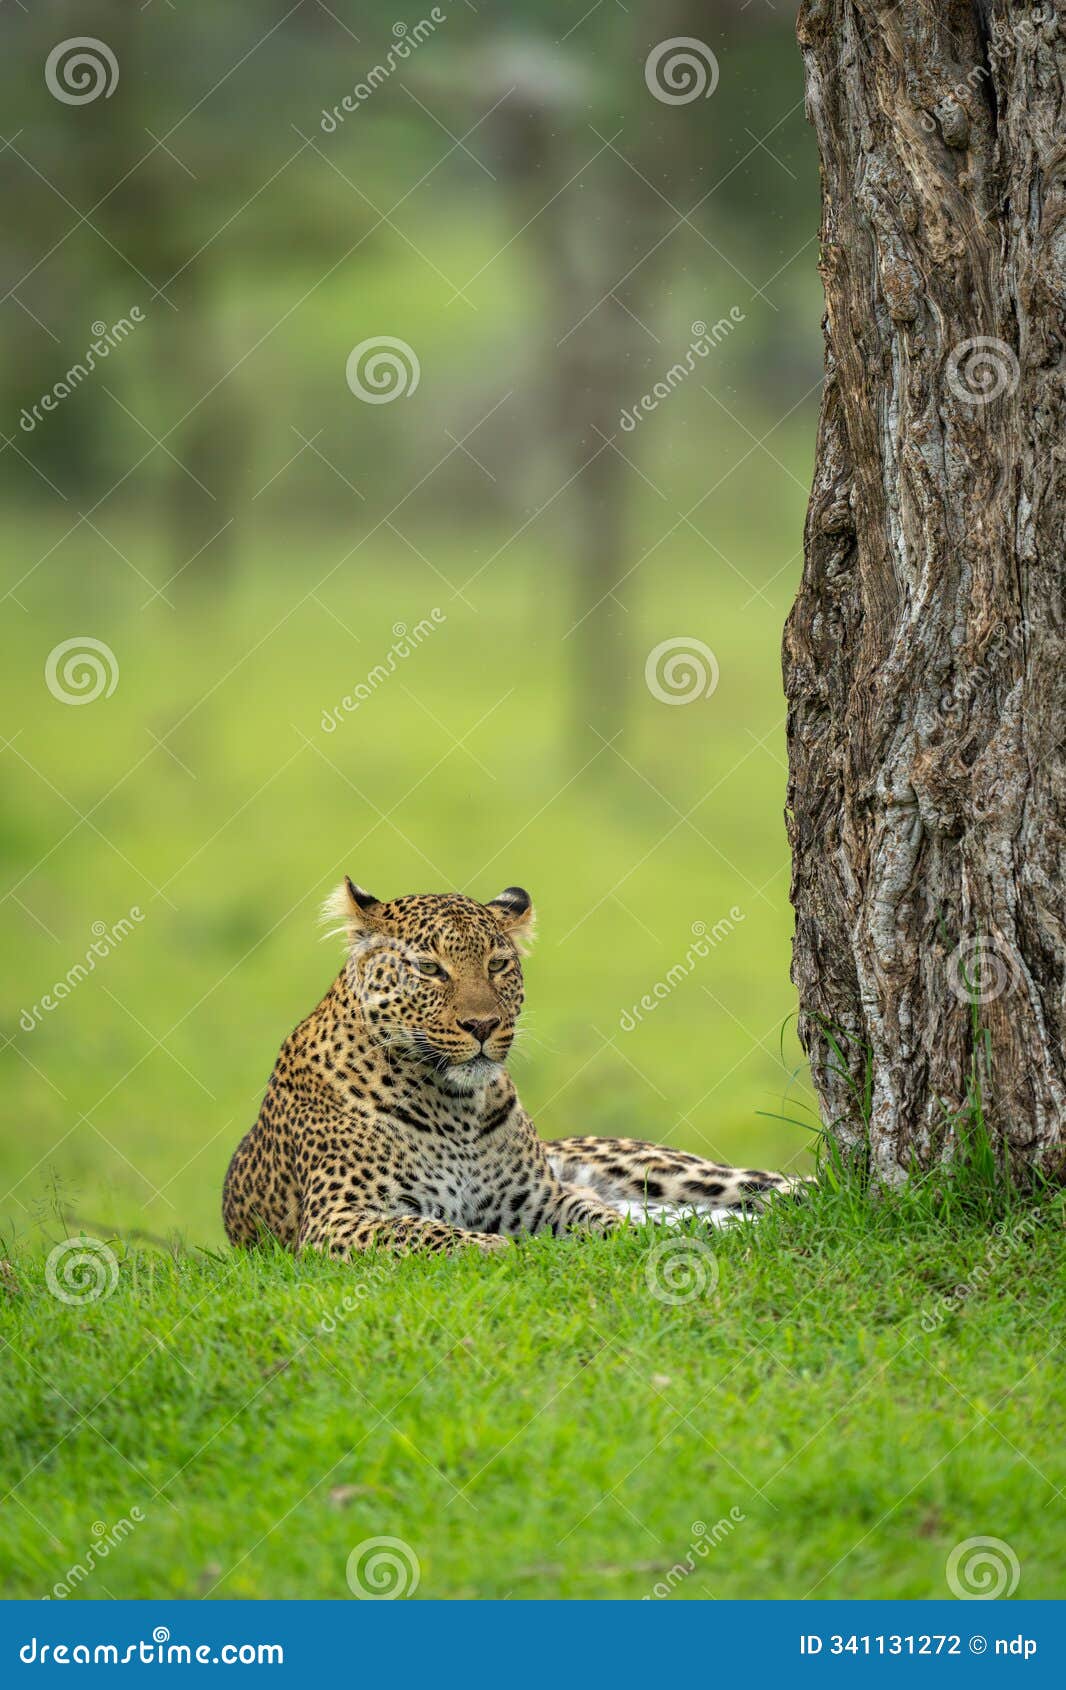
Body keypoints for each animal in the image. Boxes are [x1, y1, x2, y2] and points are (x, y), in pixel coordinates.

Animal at [222, 879, 804, 1258]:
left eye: (498, 964)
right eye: (429, 968)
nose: (483, 1025)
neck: (454, 1108)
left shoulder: (538, 1198)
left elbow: (596, 1213)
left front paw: (629, 1232)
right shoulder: (336, 1219)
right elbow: (422, 1232)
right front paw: (493, 1248)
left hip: (680, 1172)